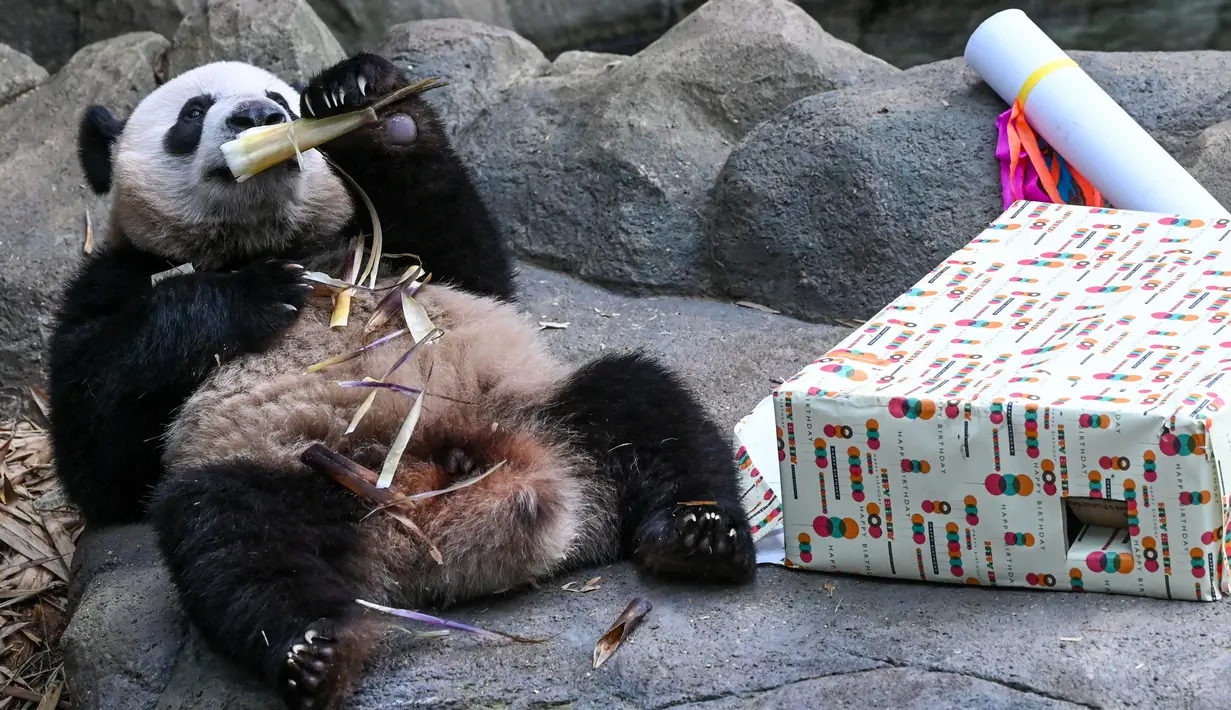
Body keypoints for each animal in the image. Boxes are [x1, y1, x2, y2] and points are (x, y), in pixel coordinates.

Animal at [48, 53, 756, 709]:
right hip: (301, 472)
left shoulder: (385, 246)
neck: (266, 240)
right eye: (193, 113)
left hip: (538, 405)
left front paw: (364, 97)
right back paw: (316, 651)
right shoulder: (112, 280)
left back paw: (699, 534)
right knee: (230, 536)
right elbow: (99, 456)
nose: (256, 116)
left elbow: (468, 260)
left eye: (282, 98)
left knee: (643, 403)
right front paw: (253, 296)